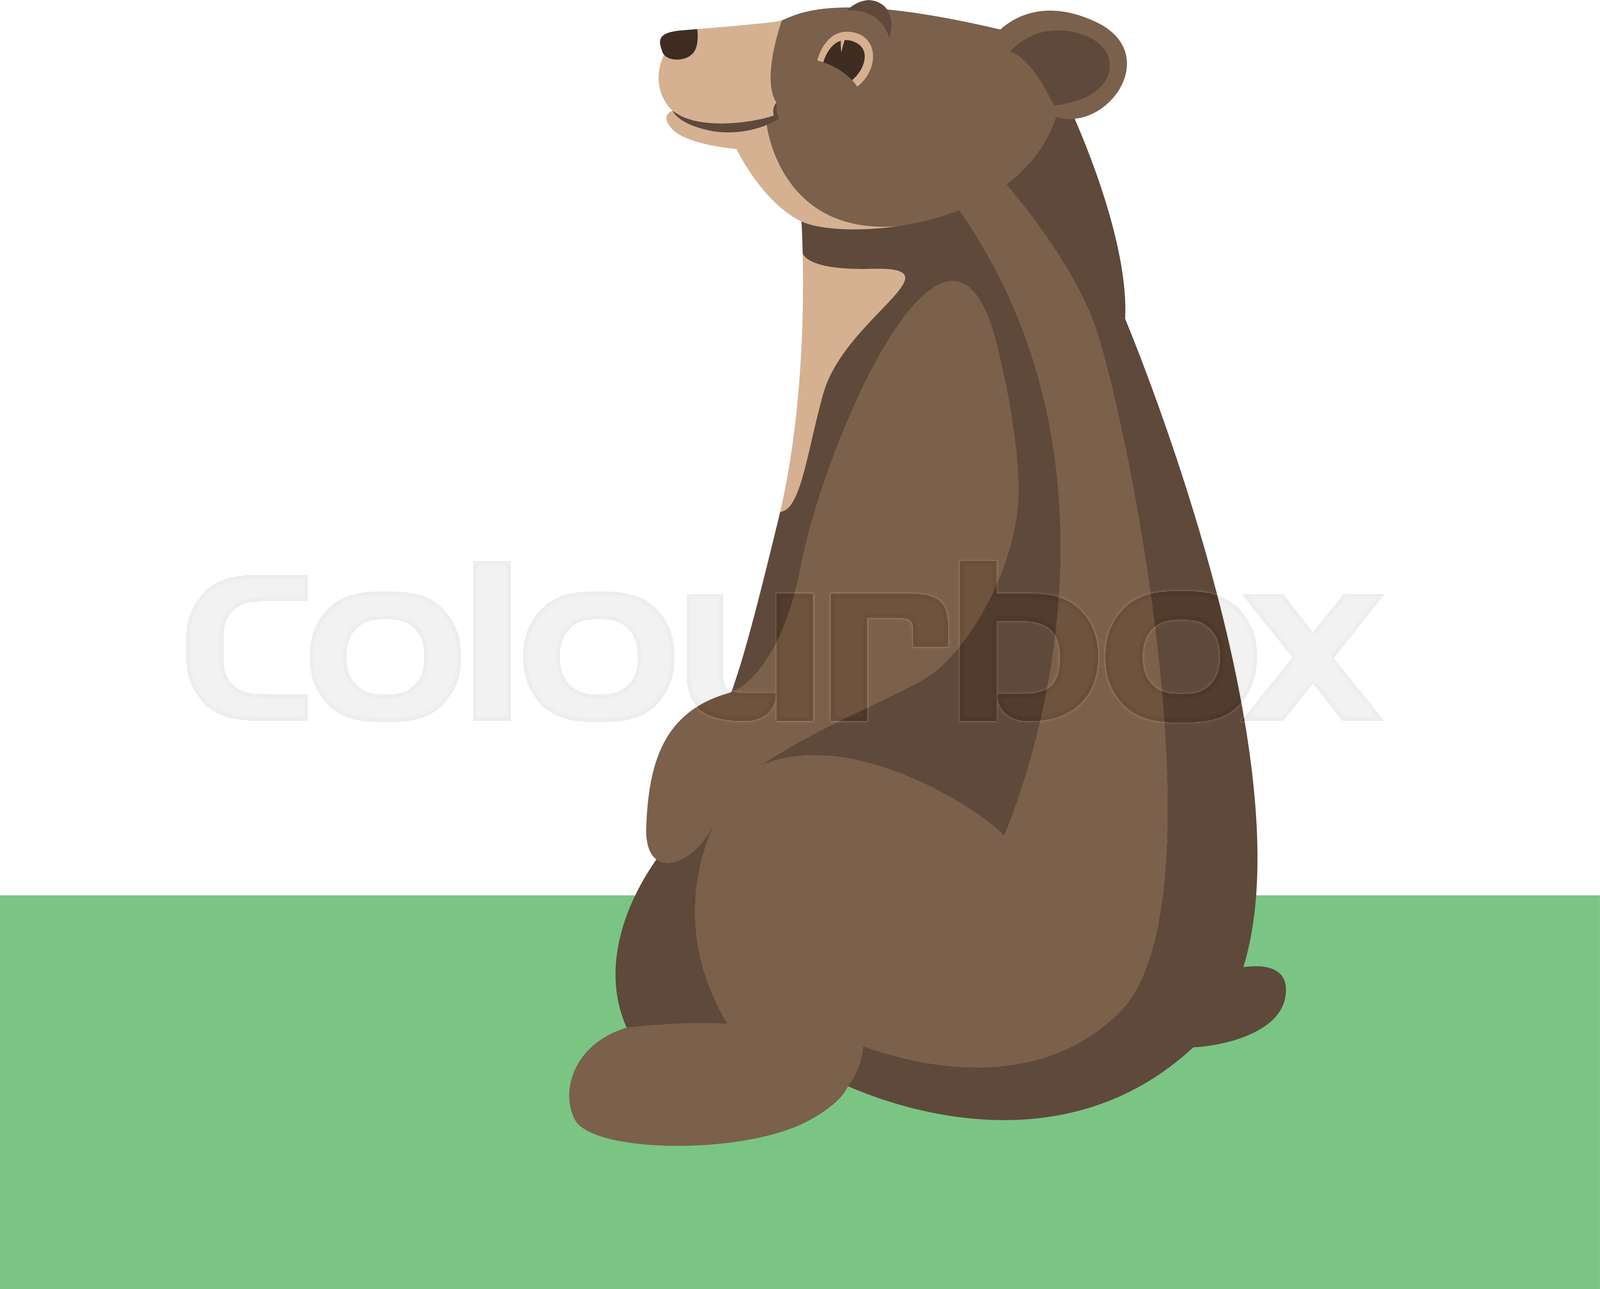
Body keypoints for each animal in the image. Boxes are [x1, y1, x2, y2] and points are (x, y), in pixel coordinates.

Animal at [569, 5, 1284, 1145]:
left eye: (845, 53)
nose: (678, 38)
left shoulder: (949, 366)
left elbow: (888, 596)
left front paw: (675, 788)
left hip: (981, 919)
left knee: (790, 838)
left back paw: (662, 1076)